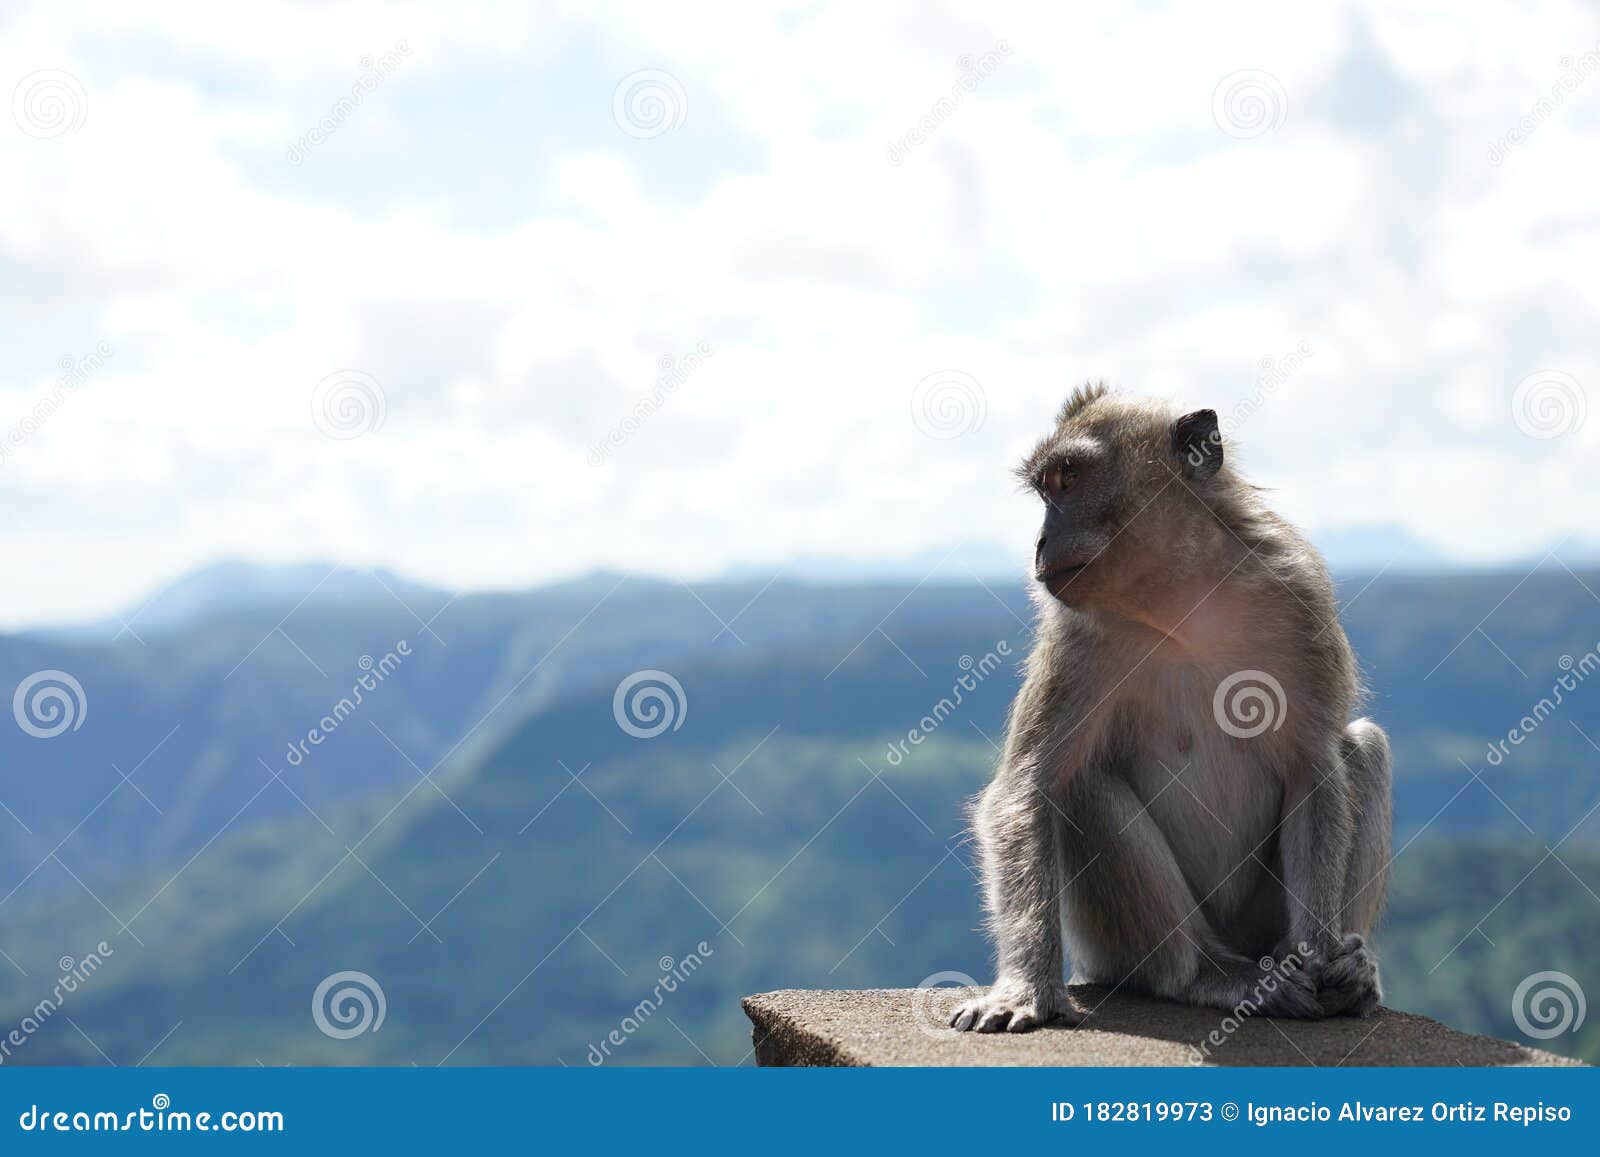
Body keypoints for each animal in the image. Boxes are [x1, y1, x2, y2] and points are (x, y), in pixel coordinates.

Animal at [951, 384, 1392, 1034]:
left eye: (1070, 480)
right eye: (1047, 488)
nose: (1040, 542)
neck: (1184, 600)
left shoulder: (1299, 596)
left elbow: (1312, 767)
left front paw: (1320, 958)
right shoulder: (1077, 638)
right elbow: (1027, 790)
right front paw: (1025, 989)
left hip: (1260, 922)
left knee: (1361, 747)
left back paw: (1343, 971)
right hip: (1119, 949)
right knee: (1080, 783)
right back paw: (1207, 975)